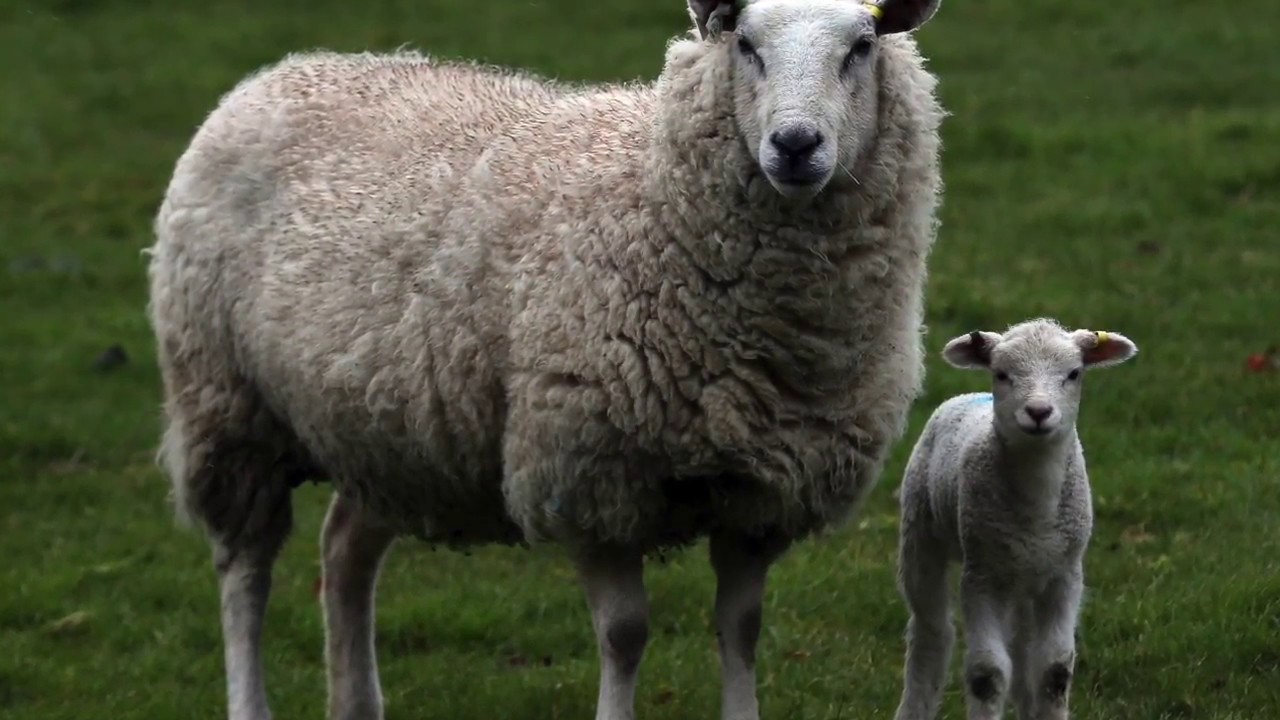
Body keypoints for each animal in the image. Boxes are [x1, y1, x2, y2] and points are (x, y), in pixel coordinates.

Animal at [146, 1, 946, 719]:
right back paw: (251, 696)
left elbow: (742, 630)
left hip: (384, 428)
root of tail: (278, 72)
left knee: (344, 549)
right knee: (244, 572)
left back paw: (357, 703)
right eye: (744, 43)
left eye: (863, 45)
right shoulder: (587, 475)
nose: (796, 144)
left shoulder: (762, 494)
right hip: (226, 406)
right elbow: (625, 635)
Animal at [891, 318, 1139, 720]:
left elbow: (1054, 669)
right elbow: (987, 673)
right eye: (1002, 374)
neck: (1037, 509)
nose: (1038, 412)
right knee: (932, 633)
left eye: (1074, 373)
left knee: (1023, 651)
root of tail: (968, 395)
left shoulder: (1065, 575)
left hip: (1024, 577)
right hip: (920, 532)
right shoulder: (981, 577)